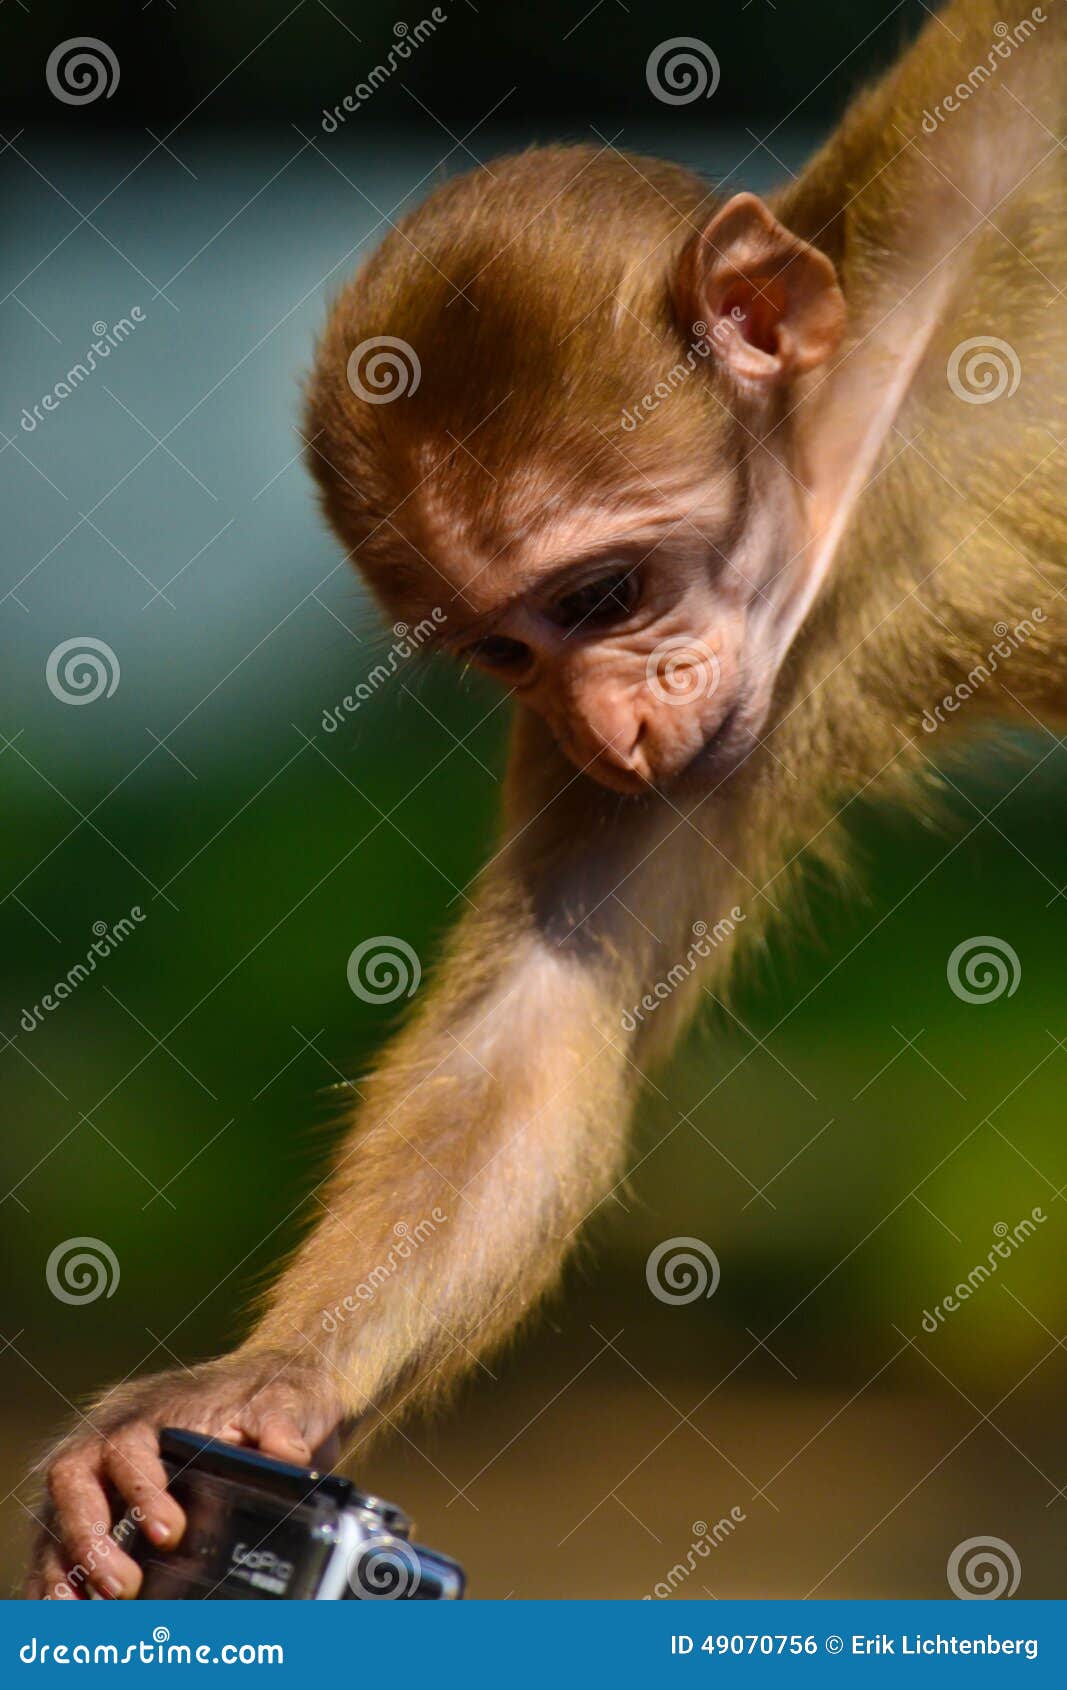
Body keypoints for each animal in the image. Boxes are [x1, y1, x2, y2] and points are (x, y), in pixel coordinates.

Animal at [25, 0, 1067, 1597]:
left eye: (599, 595)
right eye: (503, 653)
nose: (608, 727)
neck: (865, 447)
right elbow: (540, 1020)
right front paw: (257, 1390)